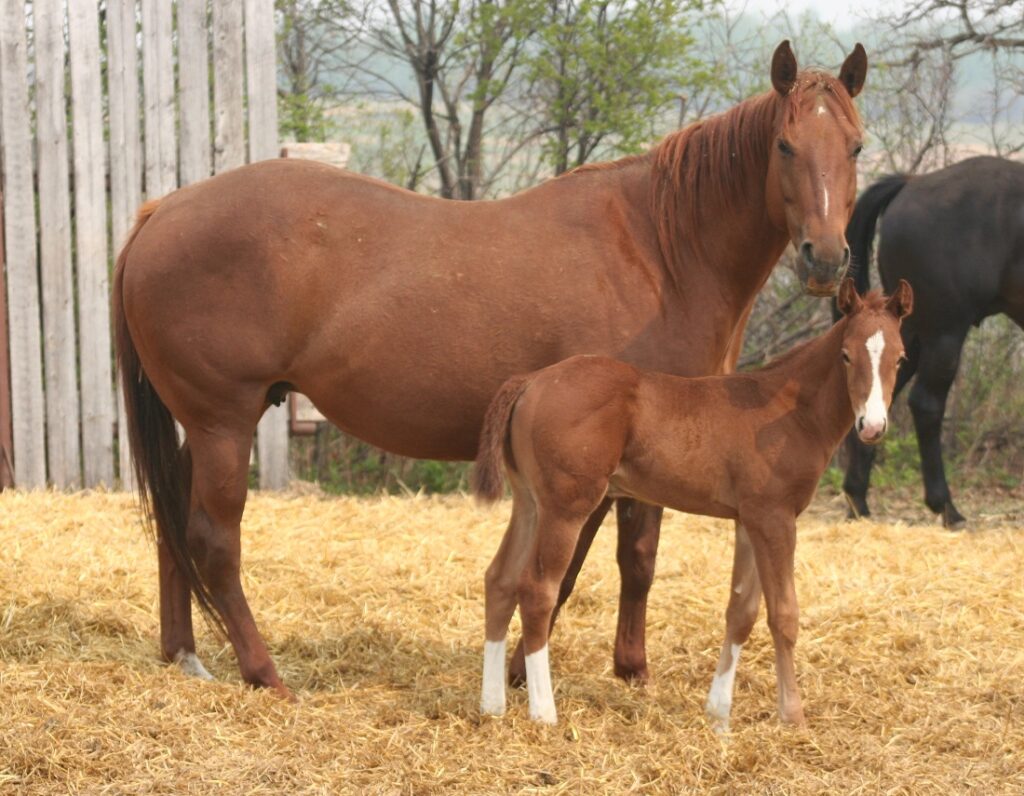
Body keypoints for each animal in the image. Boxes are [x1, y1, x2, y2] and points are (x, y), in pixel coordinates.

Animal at [114, 41, 868, 699]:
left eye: (856, 146)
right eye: (785, 146)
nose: (826, 259)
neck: (660, 250)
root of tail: (161, 211)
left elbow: (635, 562)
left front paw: (613, 669)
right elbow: (583, 566)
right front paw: (551, 671)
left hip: (204, 425)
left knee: (175, 528)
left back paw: (186, 656)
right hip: (224, 422)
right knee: (213, 541)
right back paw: (263, 672)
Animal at [473, 279, 912, 728]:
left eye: (900, 358)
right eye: (846, 355)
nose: (872, 426)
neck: (789, 413)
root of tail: (531, 381)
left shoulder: (749, 520)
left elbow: (741, 611)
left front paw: (718, 712)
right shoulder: (776, 518)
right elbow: (784, 614)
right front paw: (793, 716)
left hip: (529, 503)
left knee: (500, 580)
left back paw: (491, 705)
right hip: (566, 508)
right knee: (537, 589)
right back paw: (544, 712)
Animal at [838, 157, 1024, 529]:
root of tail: (913, 184)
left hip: (907, 335)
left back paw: (857, 499)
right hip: (944, 333)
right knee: (926, 405)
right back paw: (946, 507)